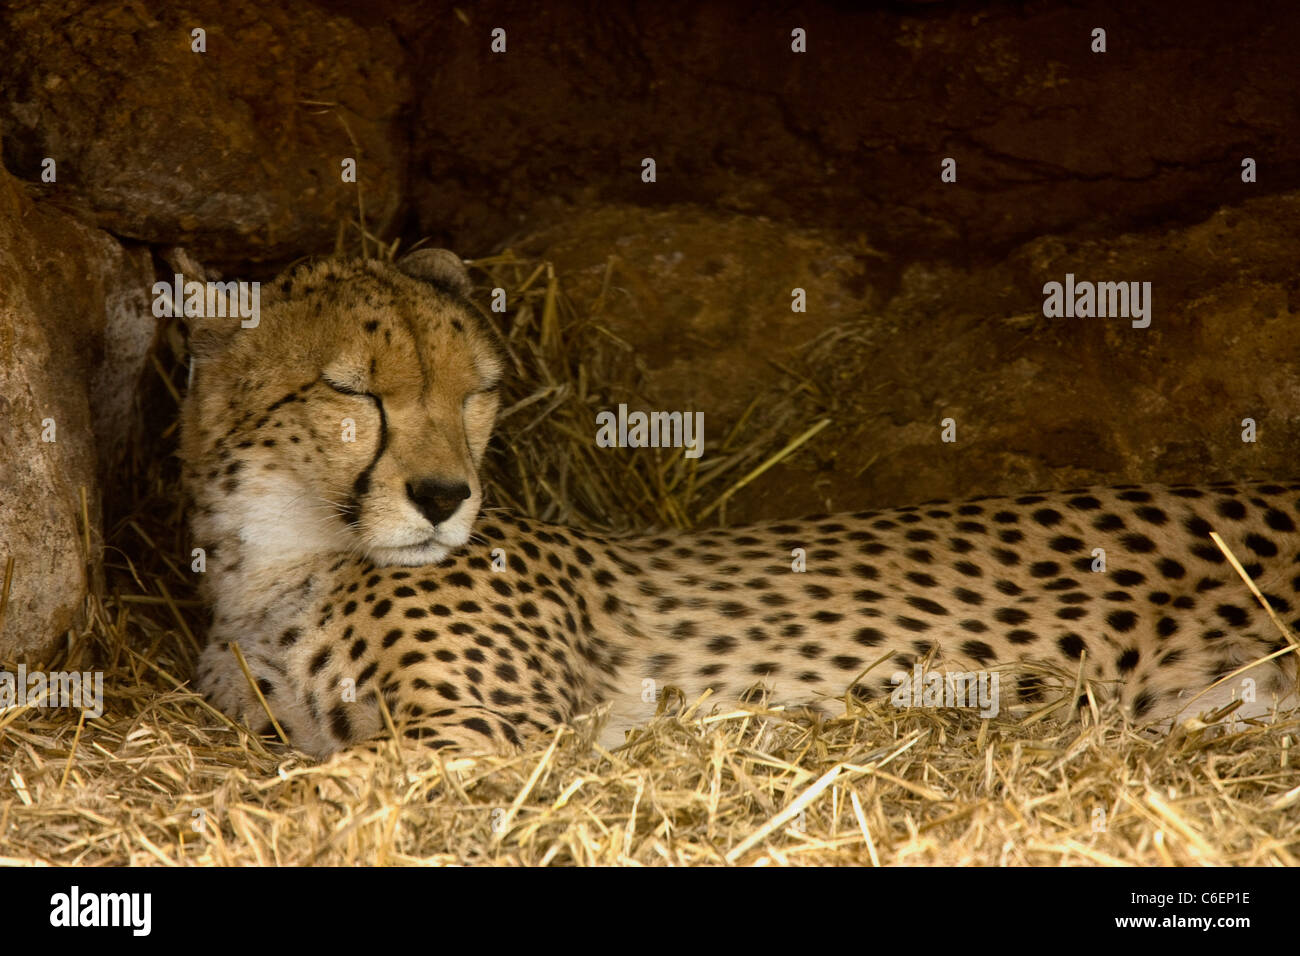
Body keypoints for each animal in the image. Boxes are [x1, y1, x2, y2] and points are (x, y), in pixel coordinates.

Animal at [183, 250, 1298, 759]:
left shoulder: (492, 737)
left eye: (476, 392)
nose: (444, 495)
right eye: (353, 391)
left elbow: (328, 780)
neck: (280, 553)